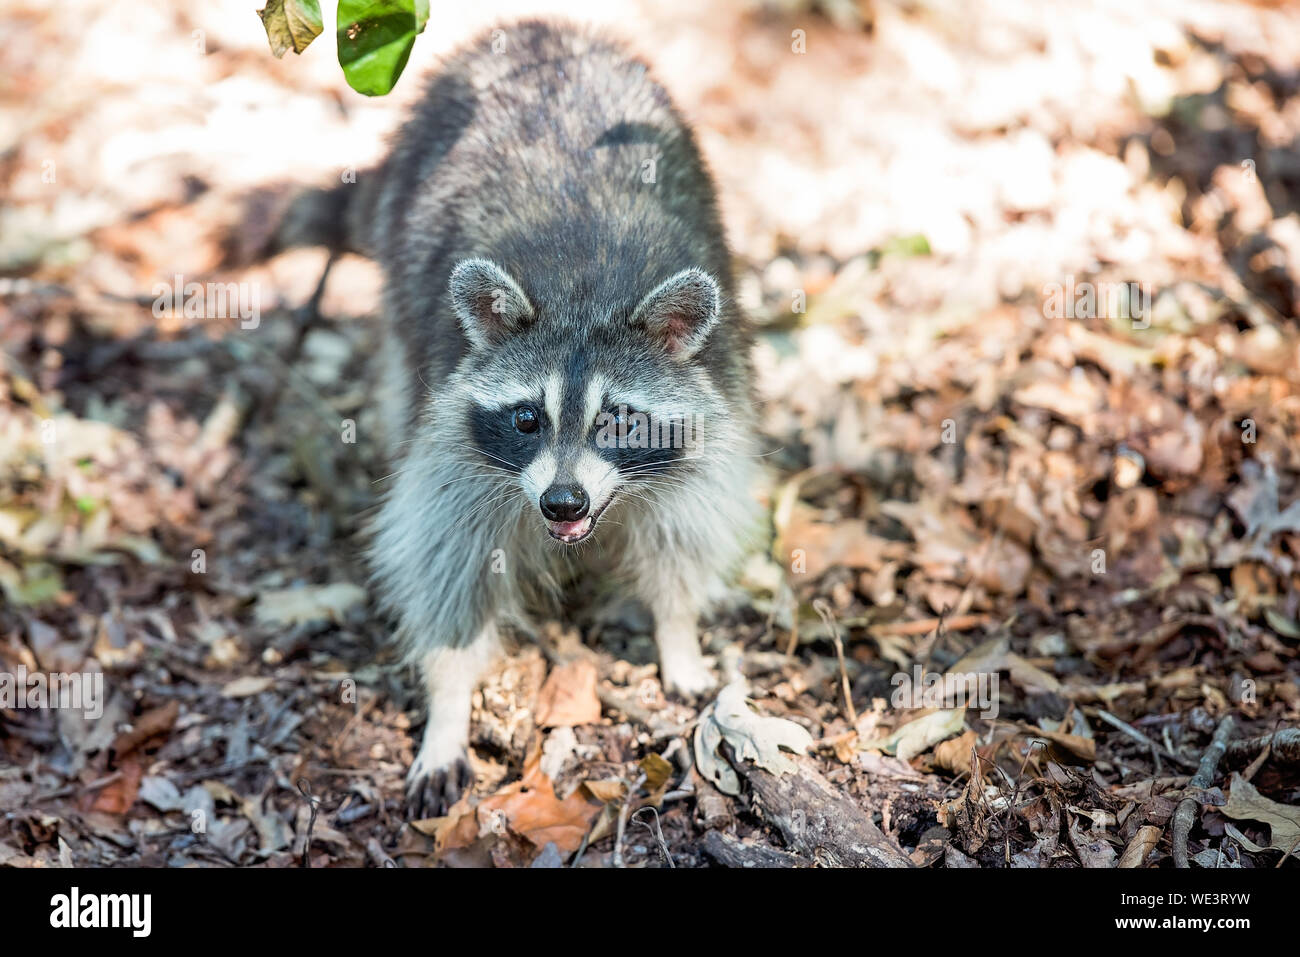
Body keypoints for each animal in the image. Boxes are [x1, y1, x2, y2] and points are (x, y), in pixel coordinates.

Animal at [264, 20, 761, 816]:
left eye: (617, 421)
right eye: (528, 419)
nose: (563, 501)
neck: (582, 295)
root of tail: (535, 29)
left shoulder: (719, 398)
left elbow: (686, 533)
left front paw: (676, 629)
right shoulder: (449, 438)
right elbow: (445, 564)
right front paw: (448, 707)